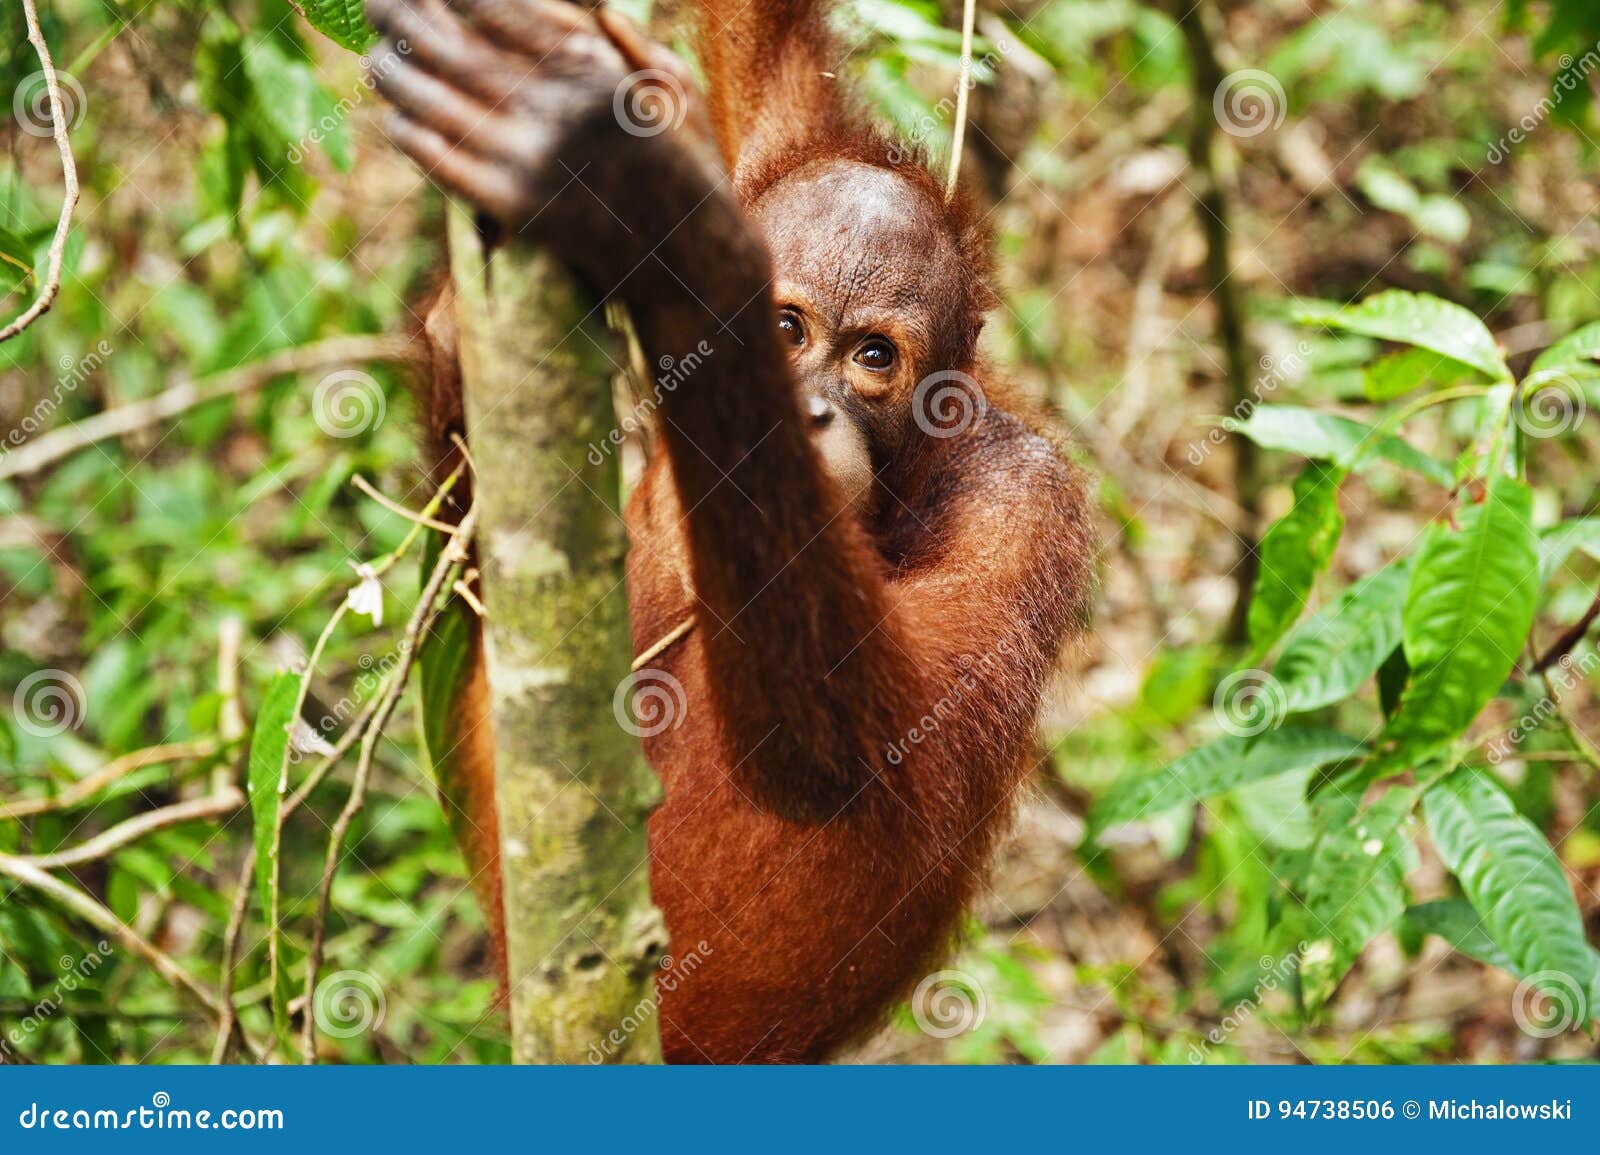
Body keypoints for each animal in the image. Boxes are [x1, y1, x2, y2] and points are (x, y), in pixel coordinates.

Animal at [365, 0, 1095, 1062]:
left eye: (874, 357)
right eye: (786, 329)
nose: (811, 413)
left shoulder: (1025, 501)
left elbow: (868, 762)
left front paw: (647, 212)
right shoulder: (779, 133)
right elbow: (766, 44)